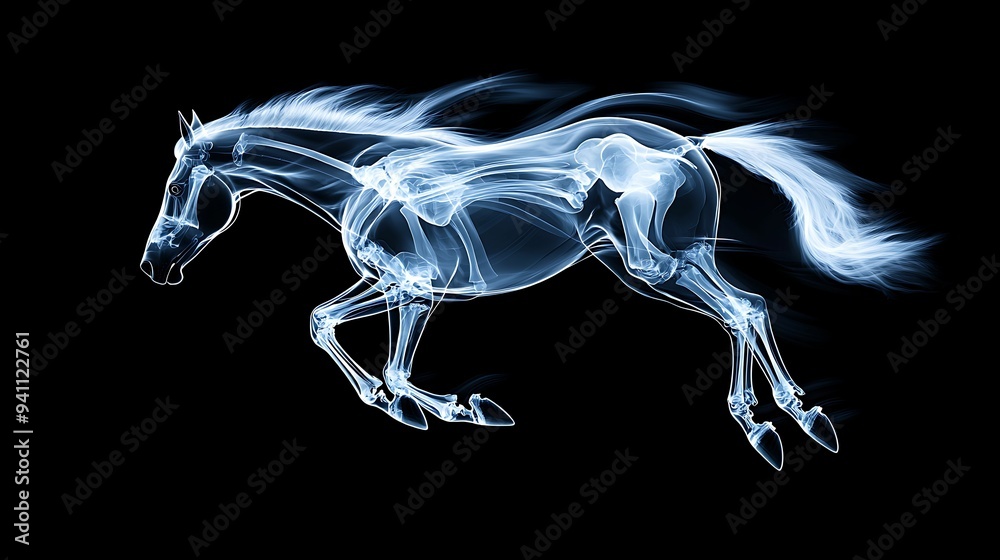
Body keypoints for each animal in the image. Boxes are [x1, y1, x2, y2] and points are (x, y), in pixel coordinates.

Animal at [140, 77, 933, 470]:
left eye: (177, 186)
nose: (154, 265)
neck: (359, 183)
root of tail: (691, 144)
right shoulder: (413, 291)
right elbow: (339, 333)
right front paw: (448, 407)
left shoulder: (411, 286)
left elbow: (358, 345)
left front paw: (436, 407)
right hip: (675, 258)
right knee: (751, 306)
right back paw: (793, 418)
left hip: (653, 265)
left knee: (741, 311)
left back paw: (774, 426)